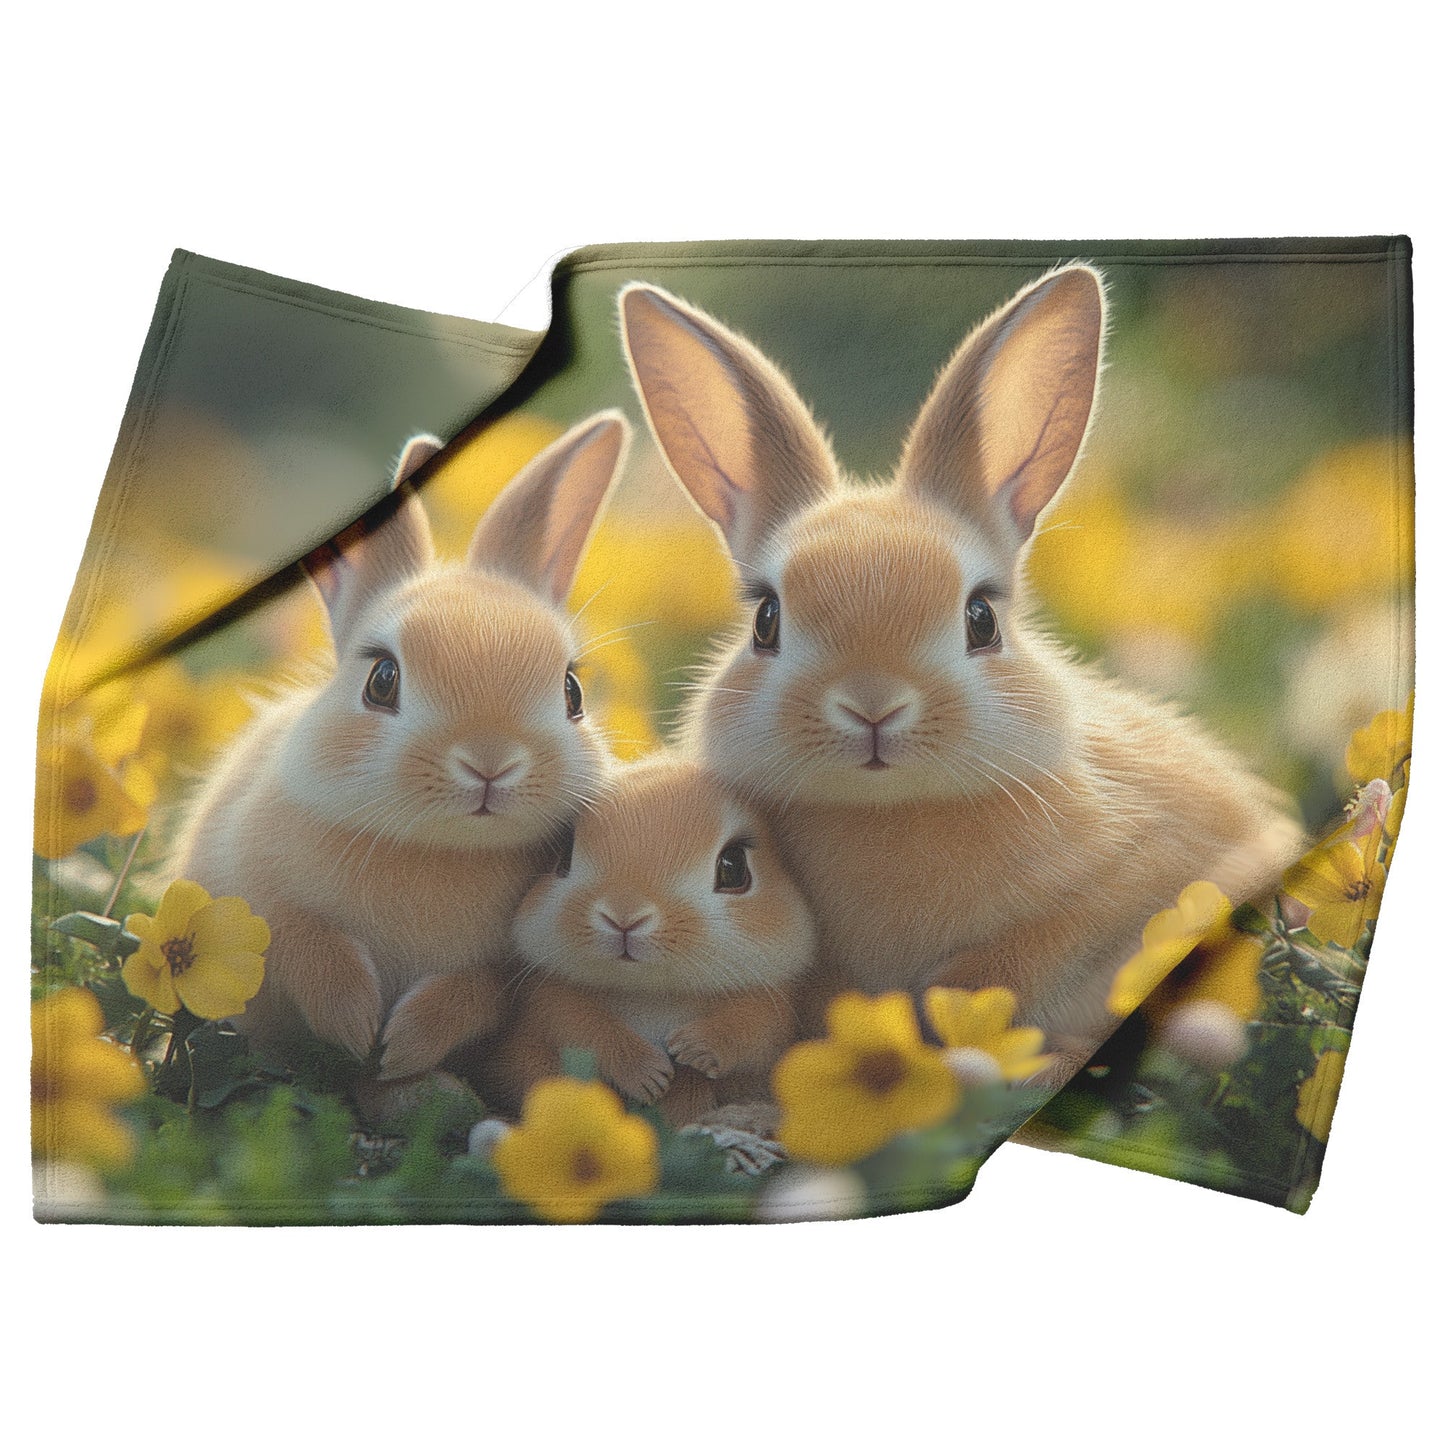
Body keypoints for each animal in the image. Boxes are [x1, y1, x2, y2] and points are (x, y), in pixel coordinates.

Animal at [170, 412, 630, 1084]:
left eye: (572, 691)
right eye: (382, 680)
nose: (491, 763)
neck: (435, 850)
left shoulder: (503, 971)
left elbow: (472, 991)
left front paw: (401, 1049)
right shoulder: (256, 895)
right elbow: (303, 942)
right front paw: (356, 1027)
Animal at [485, 751, 815, 1135]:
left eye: (734, 867)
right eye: (563, 855)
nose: (624, 916)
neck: (654, 992)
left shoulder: (768, 1005)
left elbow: (746, 1032)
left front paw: (691, 1051)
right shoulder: (552, 997)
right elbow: (586, 1030)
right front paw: (652, 1077)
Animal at [618, 269, 1303, 1061]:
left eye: (981, 619)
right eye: (766, 620)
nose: (873, 705)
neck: (892, 811)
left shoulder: (1134, 875)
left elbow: (1016, 962)